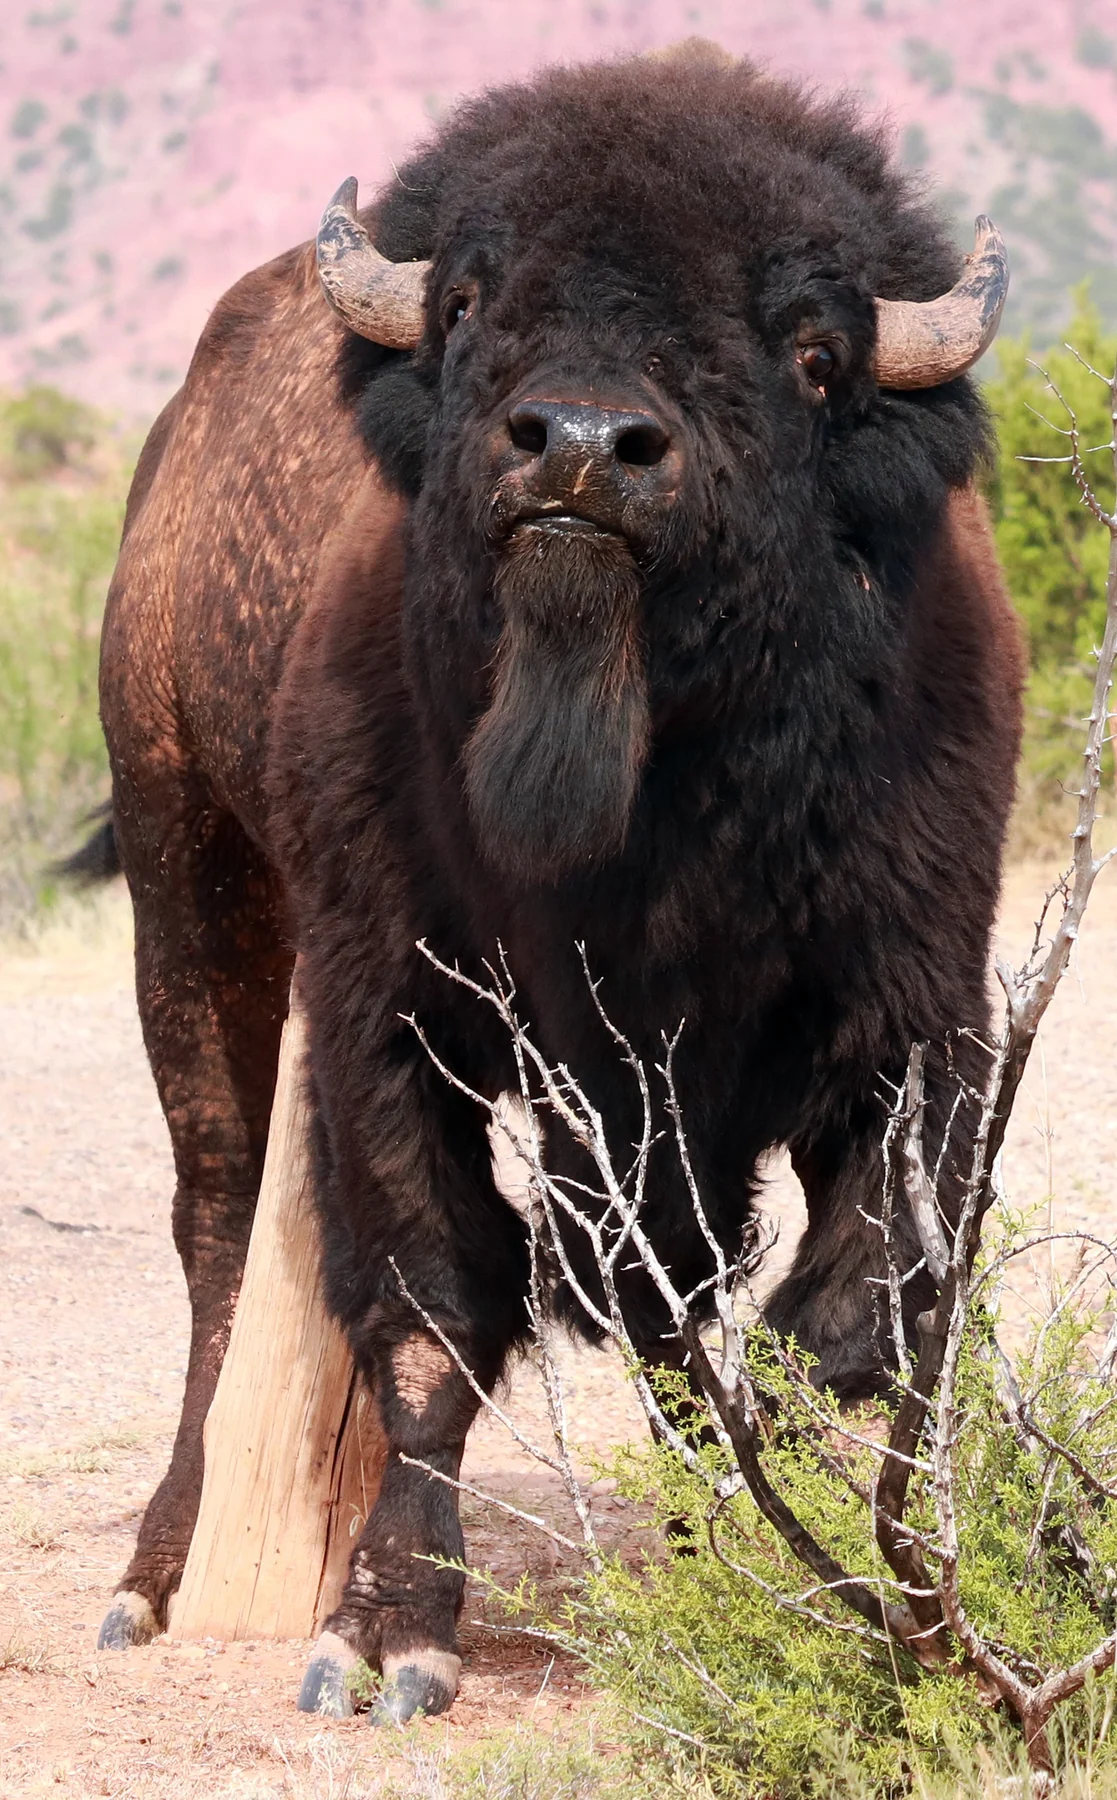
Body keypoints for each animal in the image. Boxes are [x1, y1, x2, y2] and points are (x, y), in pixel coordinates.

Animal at [84, 43, 1023, 1723]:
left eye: (812, 352)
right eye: (468, 299)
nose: (580, 446)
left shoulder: (908, 1032)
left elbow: (816, 1327)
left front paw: (783, 1579)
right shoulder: (389, 1025)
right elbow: (433, 1315)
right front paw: (382, 1643)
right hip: (184, 875)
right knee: (216, 1230)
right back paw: (152, 1581)